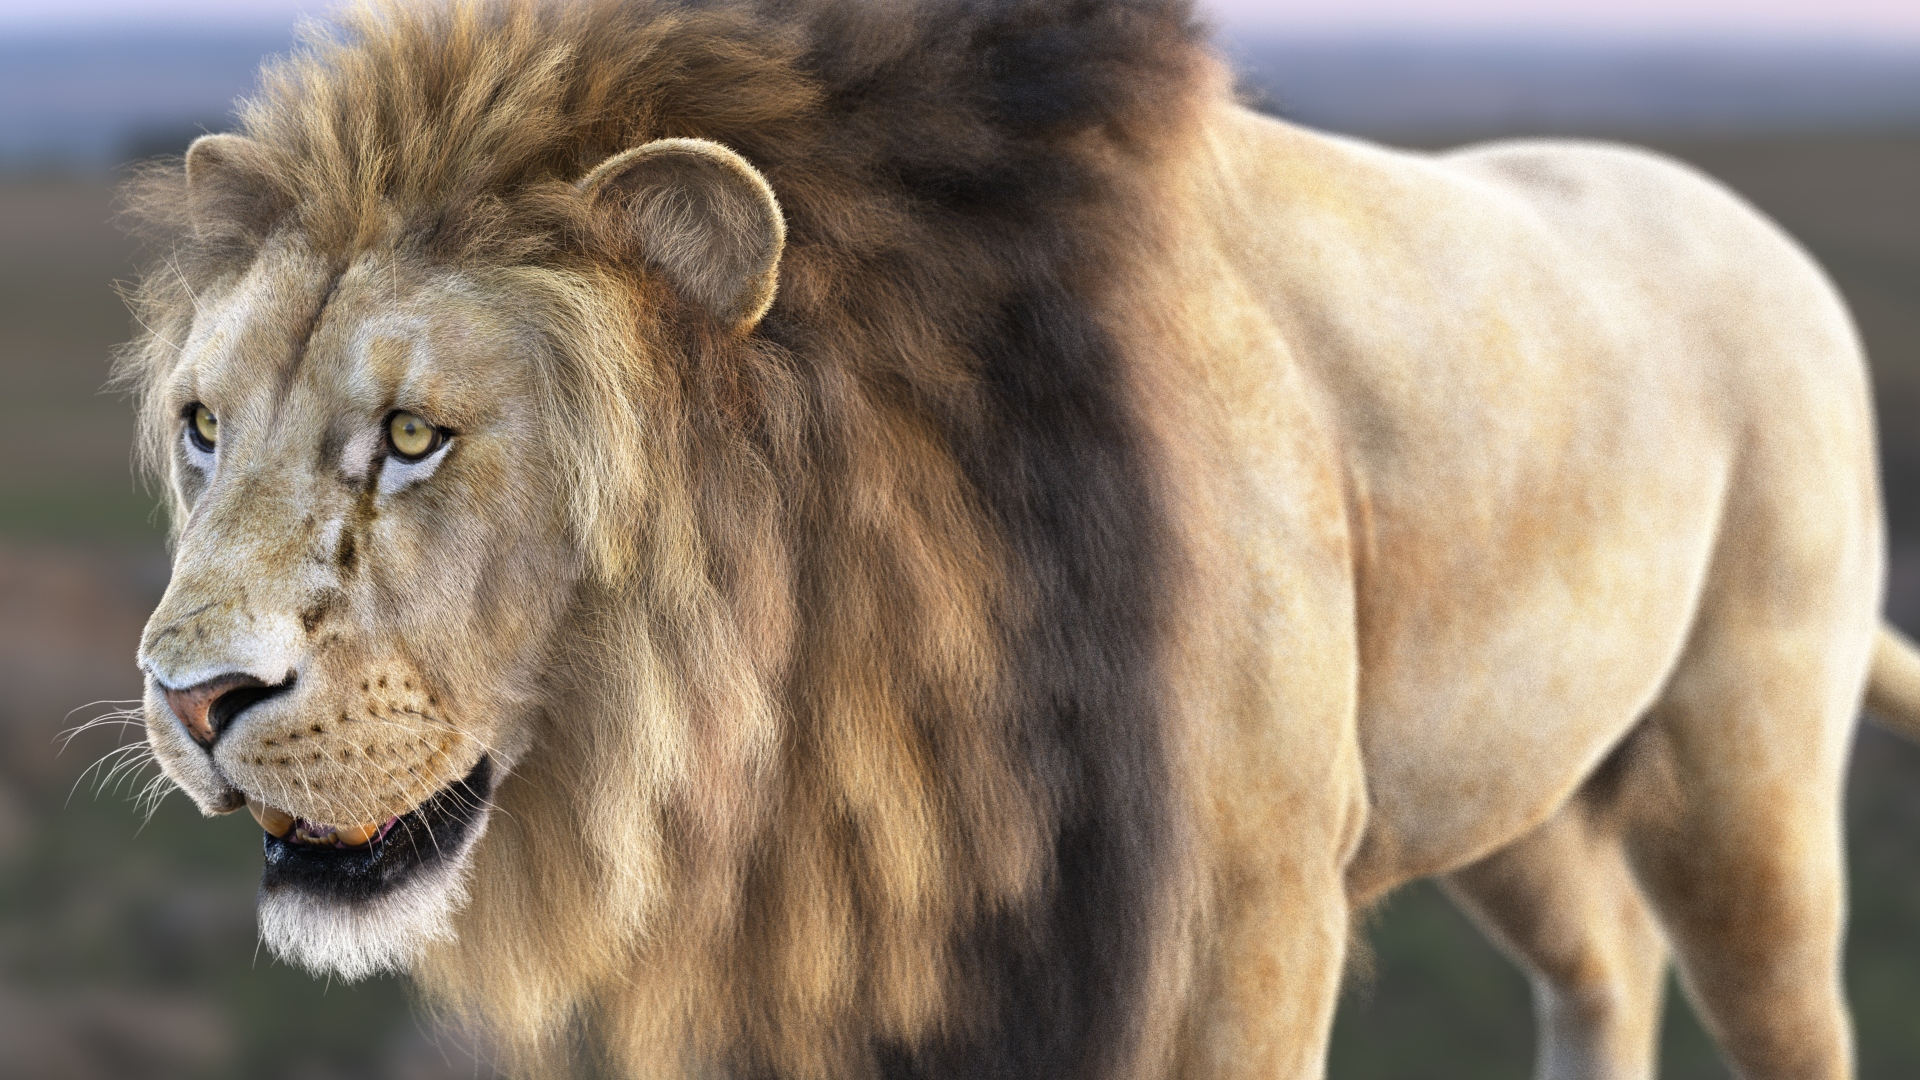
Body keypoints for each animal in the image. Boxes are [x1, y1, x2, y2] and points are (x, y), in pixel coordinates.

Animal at [116, 0, 1920, 1076]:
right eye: (205, 427)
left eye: (415, 438)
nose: (190, 702)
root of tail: (1758, 229)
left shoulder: (1247, 915)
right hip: (1502, 779)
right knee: (1604, 956)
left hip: (1738, 774)